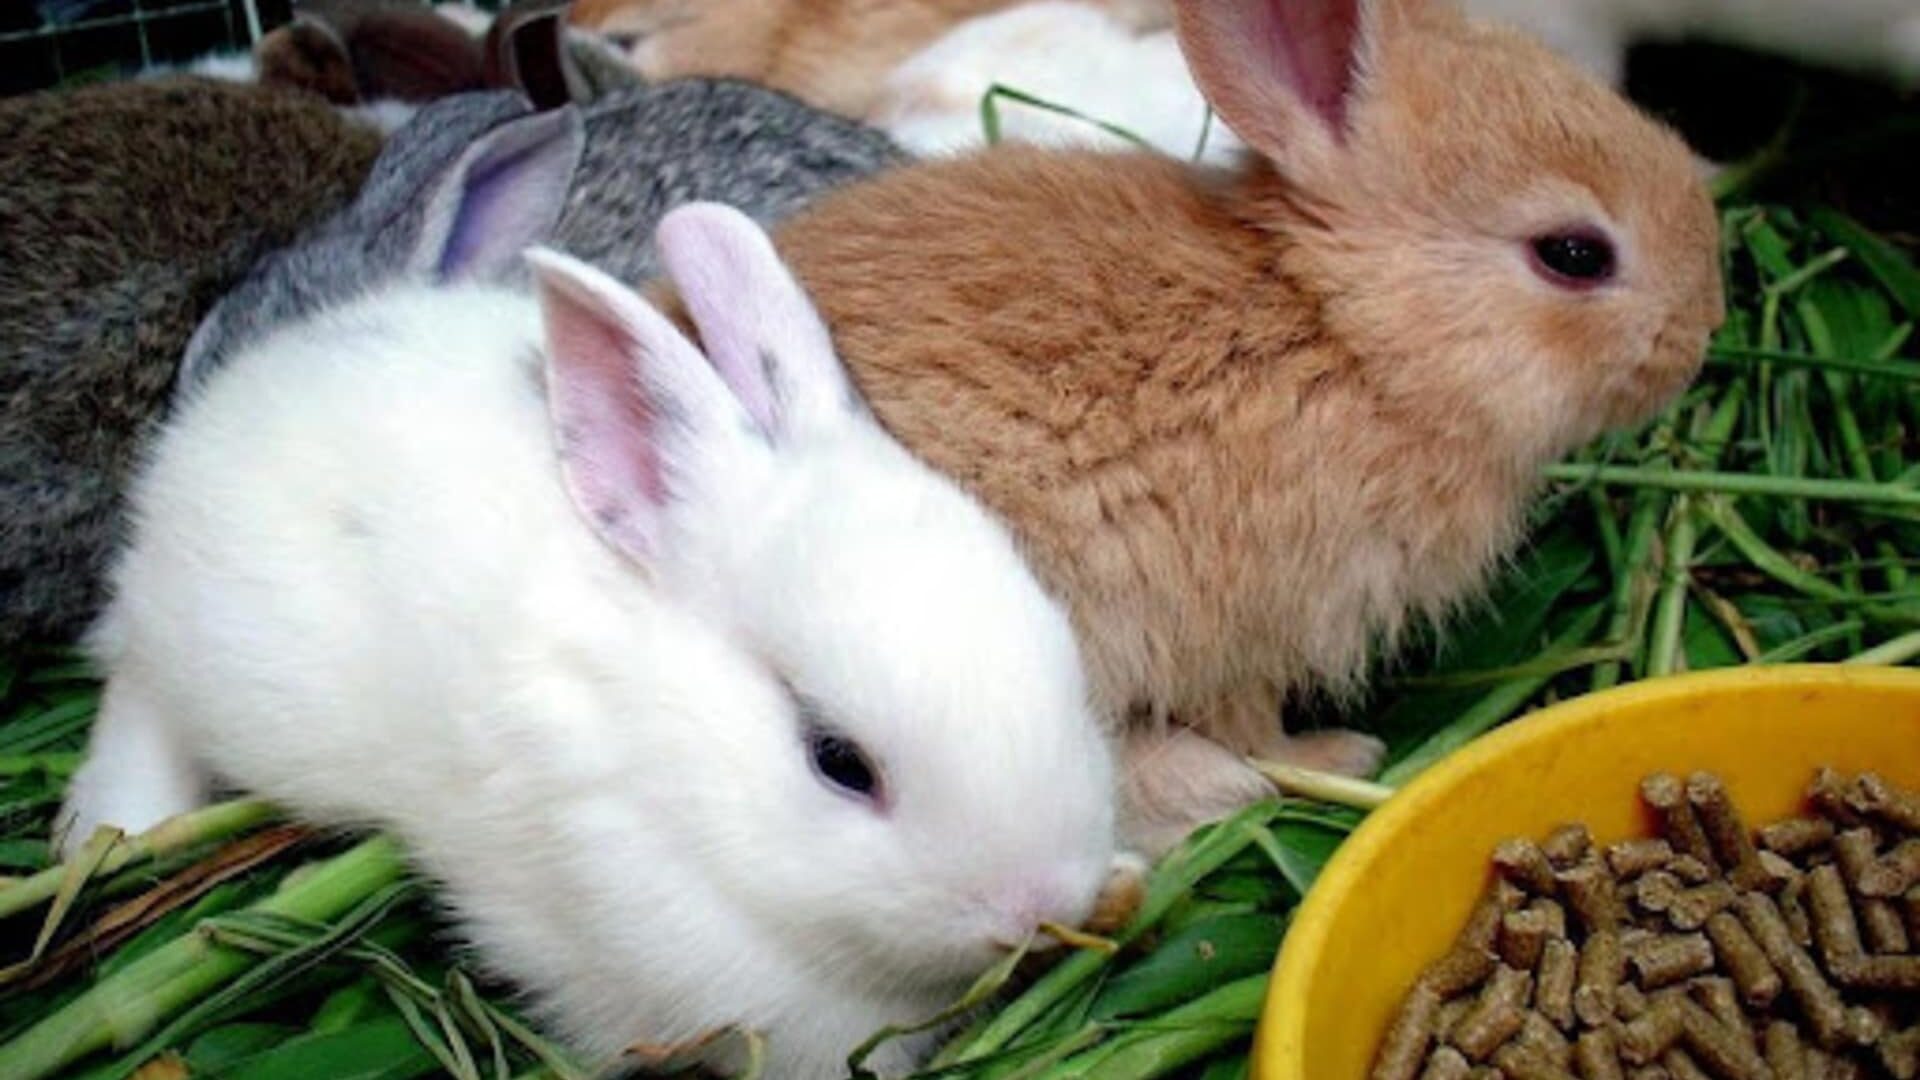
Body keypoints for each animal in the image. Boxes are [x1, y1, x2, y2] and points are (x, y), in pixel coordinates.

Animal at [58, 204, 1119, 1078]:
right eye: (839, 761)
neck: (669, 754)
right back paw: (109, 824)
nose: (1039, 905)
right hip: (214, 660)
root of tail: (215, 417)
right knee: (140, 689)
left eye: (1066, 663)